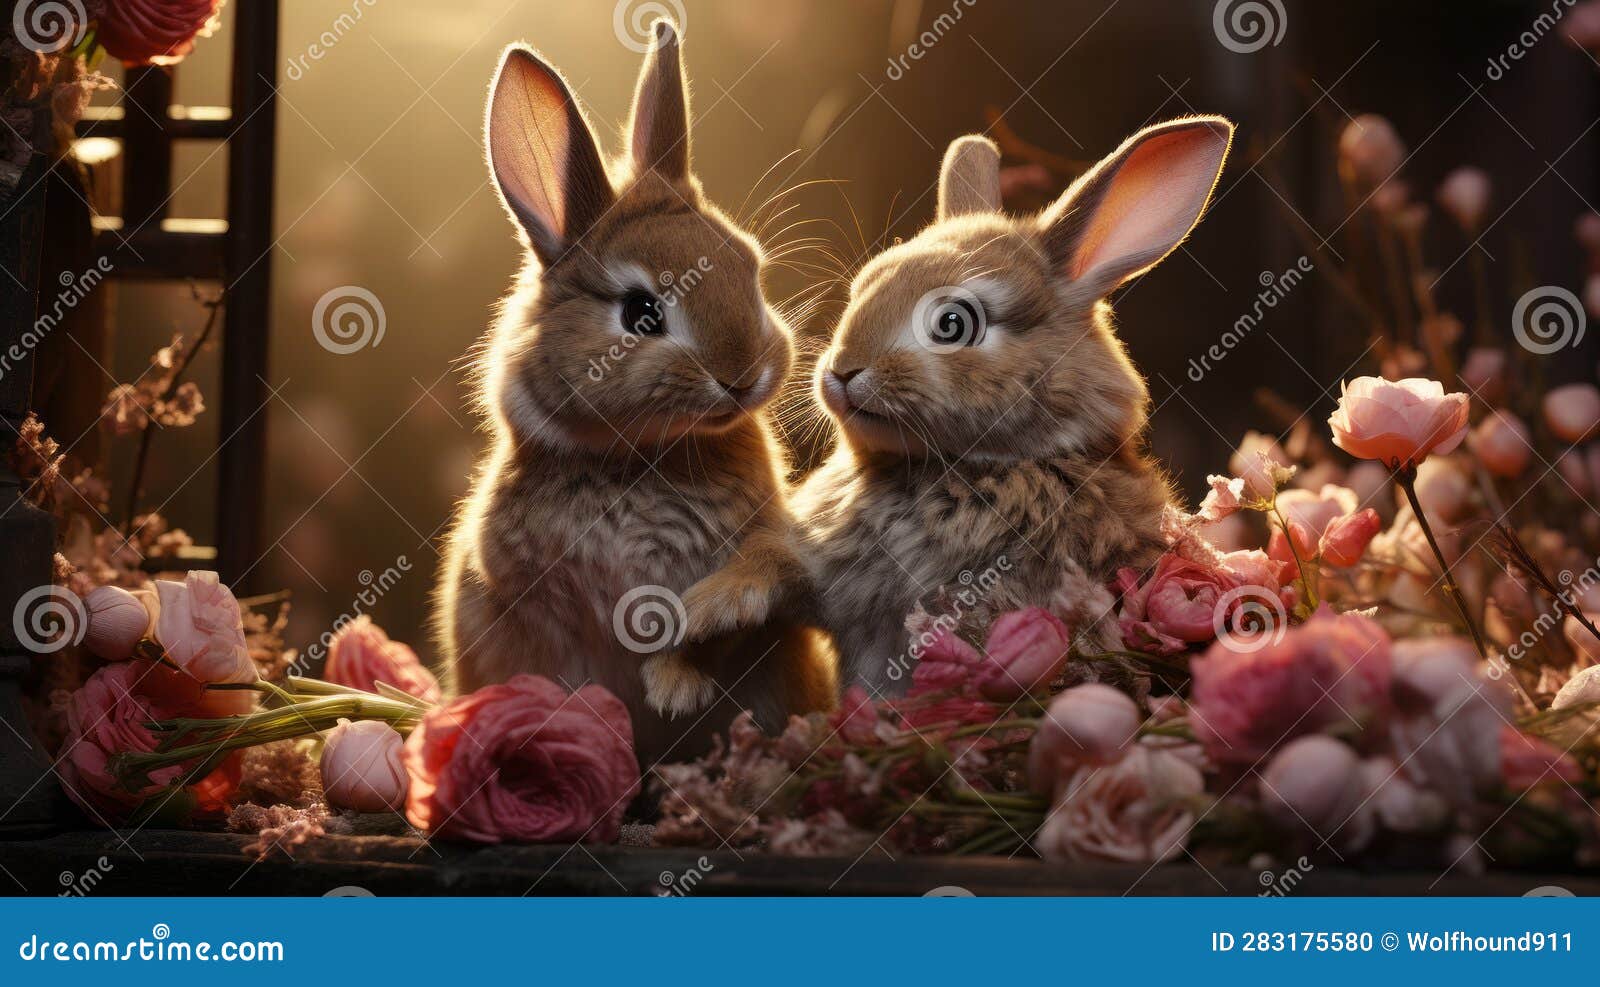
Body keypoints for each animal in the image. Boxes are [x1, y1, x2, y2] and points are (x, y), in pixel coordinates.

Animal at [434, 21, 835, 767]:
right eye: (642, 314)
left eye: (749, 267)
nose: (743, 374)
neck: (638, 459)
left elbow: (716, 628)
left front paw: (672, 691)